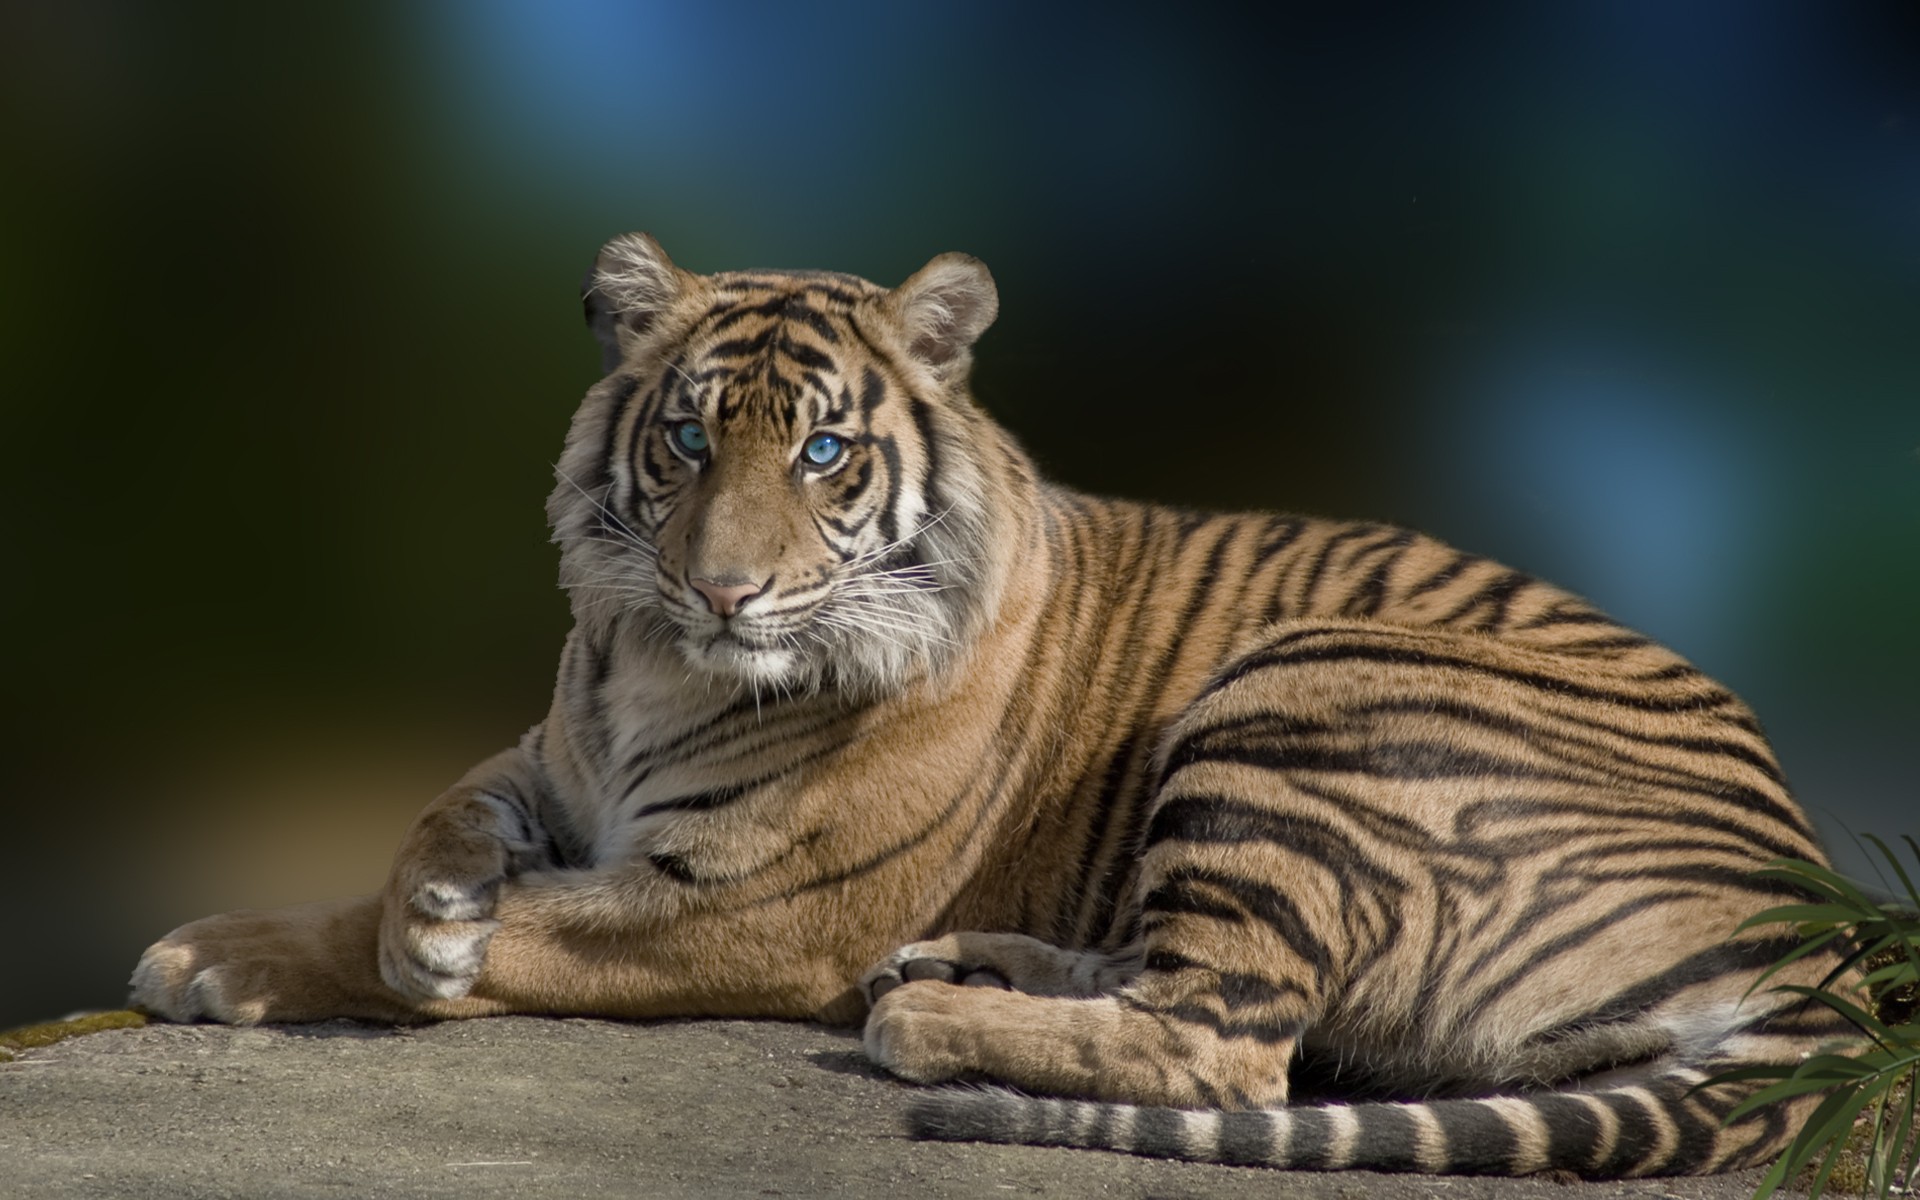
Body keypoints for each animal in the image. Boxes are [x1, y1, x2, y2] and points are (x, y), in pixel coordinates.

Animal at [130, 232, 1847, 1179]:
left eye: (823, 454)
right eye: (685, 440)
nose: (723, 591)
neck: (651, 665)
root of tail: (1825, 928)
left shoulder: (738, 909)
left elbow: (476, 935)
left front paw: (239, 957)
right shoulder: (550, 765)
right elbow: (436, 814)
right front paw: (412, 903)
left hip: (1303, 684)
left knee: (1231, 1043)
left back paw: (932, 1016)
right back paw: (971, 963)